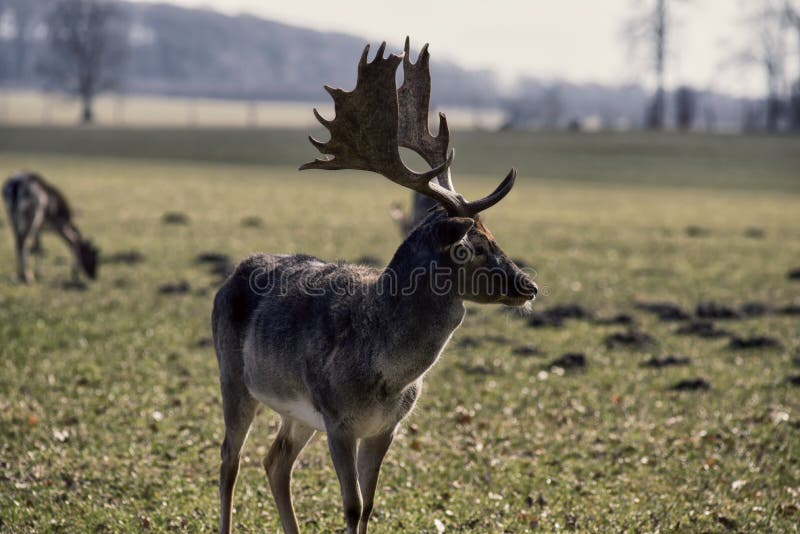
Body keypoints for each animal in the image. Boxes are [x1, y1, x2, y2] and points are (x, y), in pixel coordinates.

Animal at [211, 38, 538, 534]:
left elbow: (368, 505)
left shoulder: (386, 427)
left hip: (297, 412)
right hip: (234, 377)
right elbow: (350, 505)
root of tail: (229, 277)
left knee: (275, 461)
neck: (385, 372)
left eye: (493, 234)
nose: (529, 285)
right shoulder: (338, 420)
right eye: (473, 246)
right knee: (229, 458)